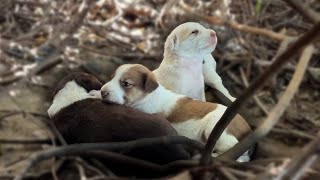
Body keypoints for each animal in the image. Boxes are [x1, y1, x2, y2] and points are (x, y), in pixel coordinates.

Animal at [100, 64, 252, 162]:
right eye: (111, 78)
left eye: (126, 84)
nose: (103, 92)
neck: (149, 95)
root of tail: (248, 129)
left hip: (215, 128)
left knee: (235, 151)